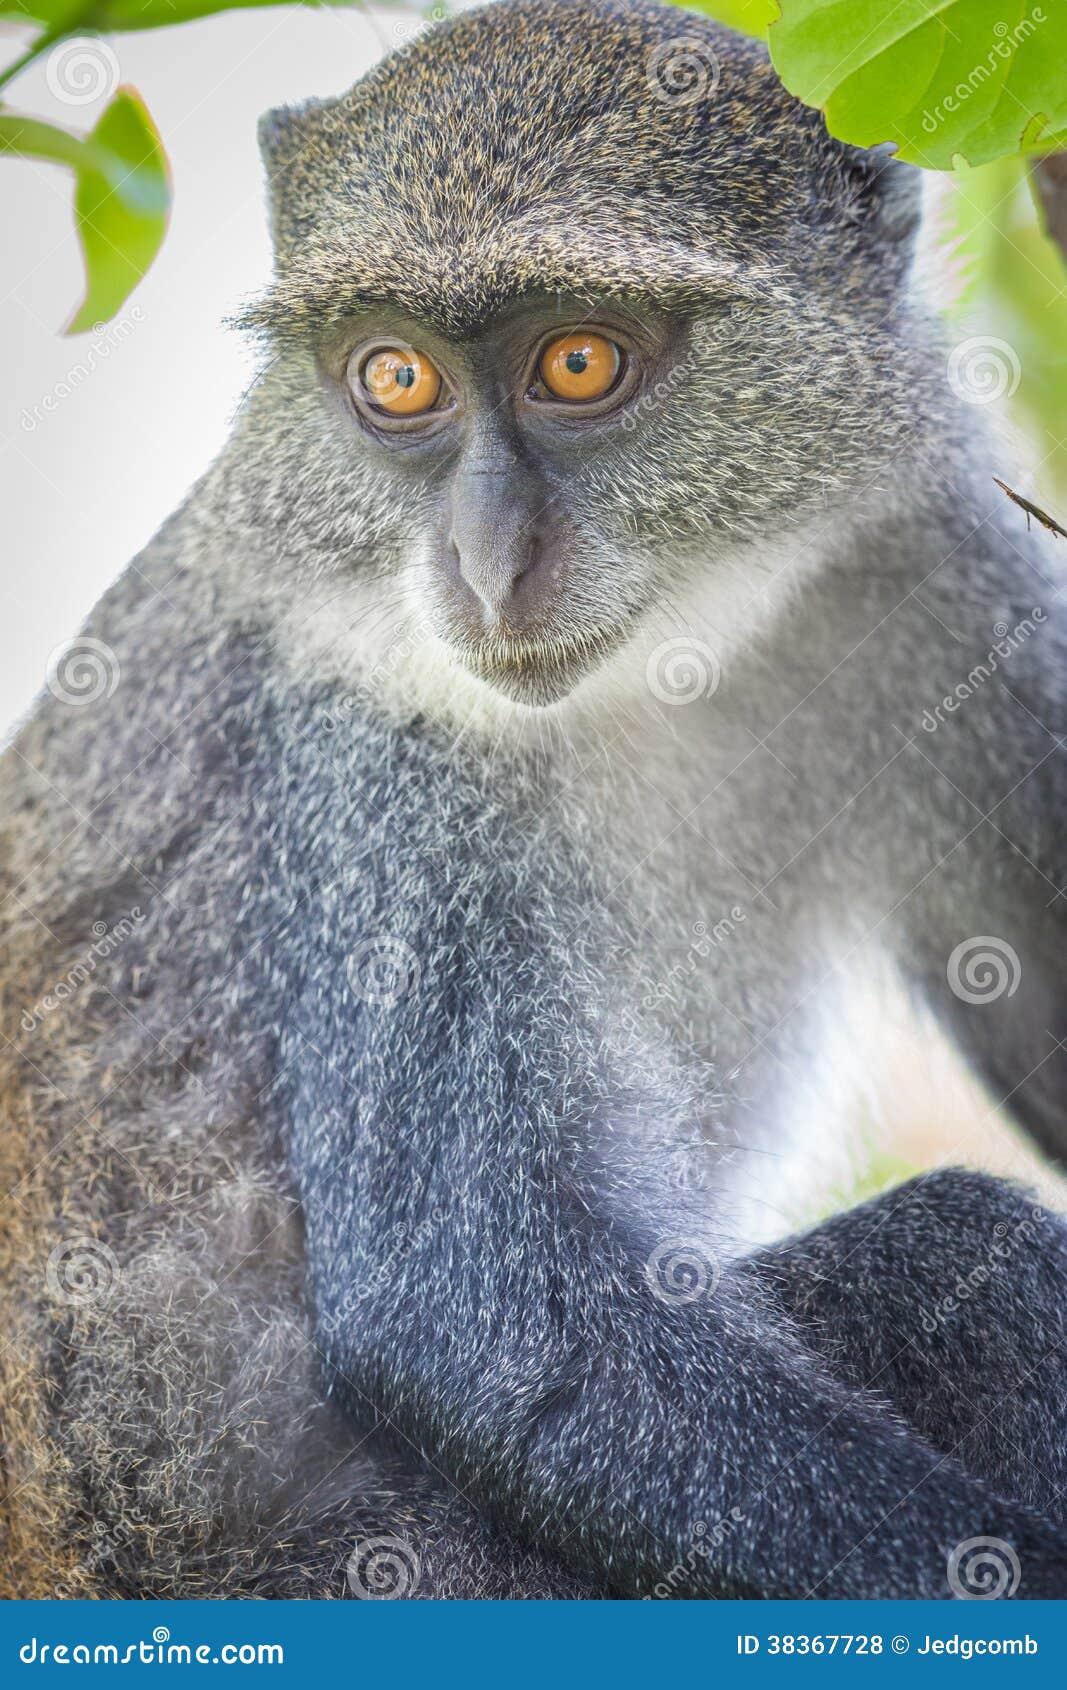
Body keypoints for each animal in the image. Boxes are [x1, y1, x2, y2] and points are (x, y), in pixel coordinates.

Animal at [3, 0, 1067, 1600]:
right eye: (394, 379)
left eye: (575, 362)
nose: (487, 562)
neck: (673, 654)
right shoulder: (369, 731)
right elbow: (480, 1318)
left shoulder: (929, 548)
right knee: (966, 1260)